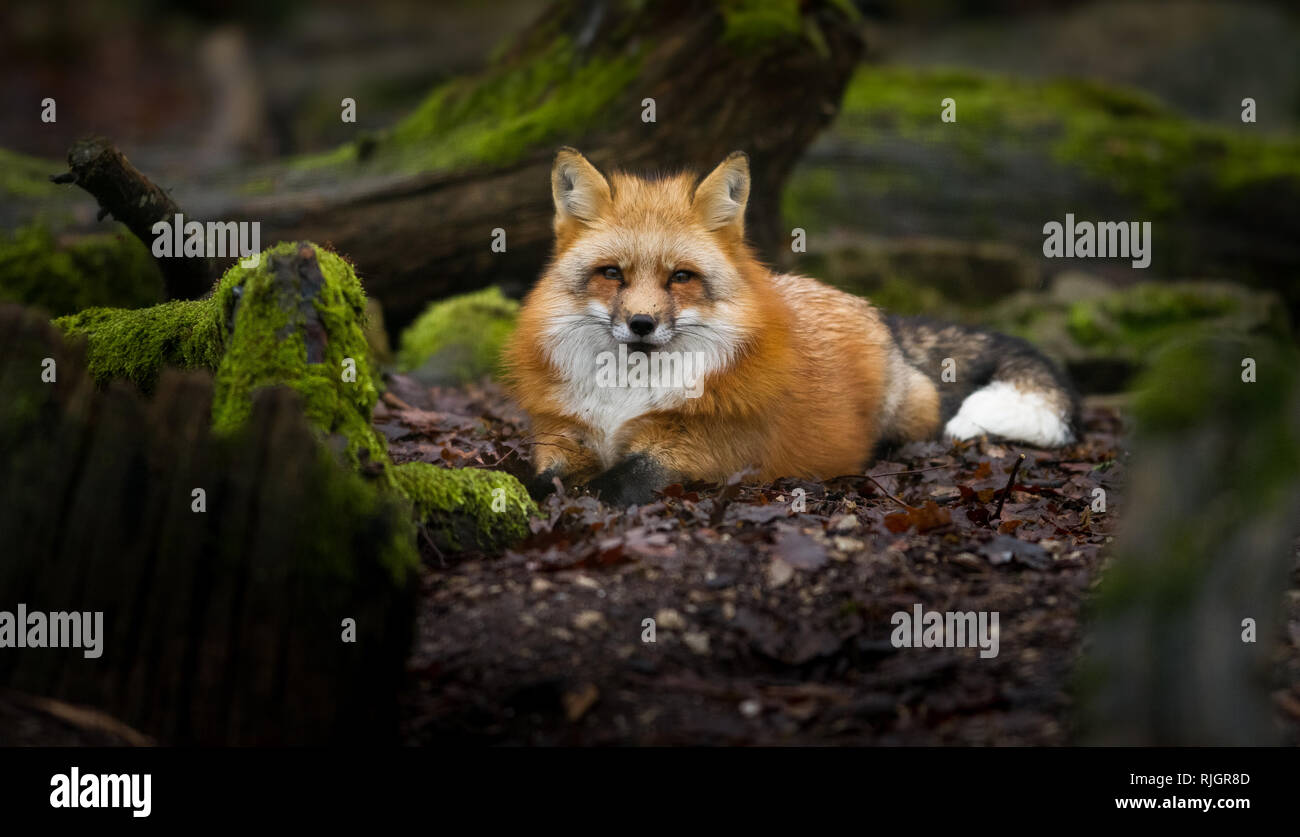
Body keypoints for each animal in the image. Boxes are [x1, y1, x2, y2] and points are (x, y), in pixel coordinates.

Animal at [504, 148, 1079, 506]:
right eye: (612, 274)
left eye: (680, 277)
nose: (641, 324)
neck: (624, 396)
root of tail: (874, 310)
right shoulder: (565, 434)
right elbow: (534, 479)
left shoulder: (706, 448)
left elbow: (618, 482)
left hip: (904, 414)